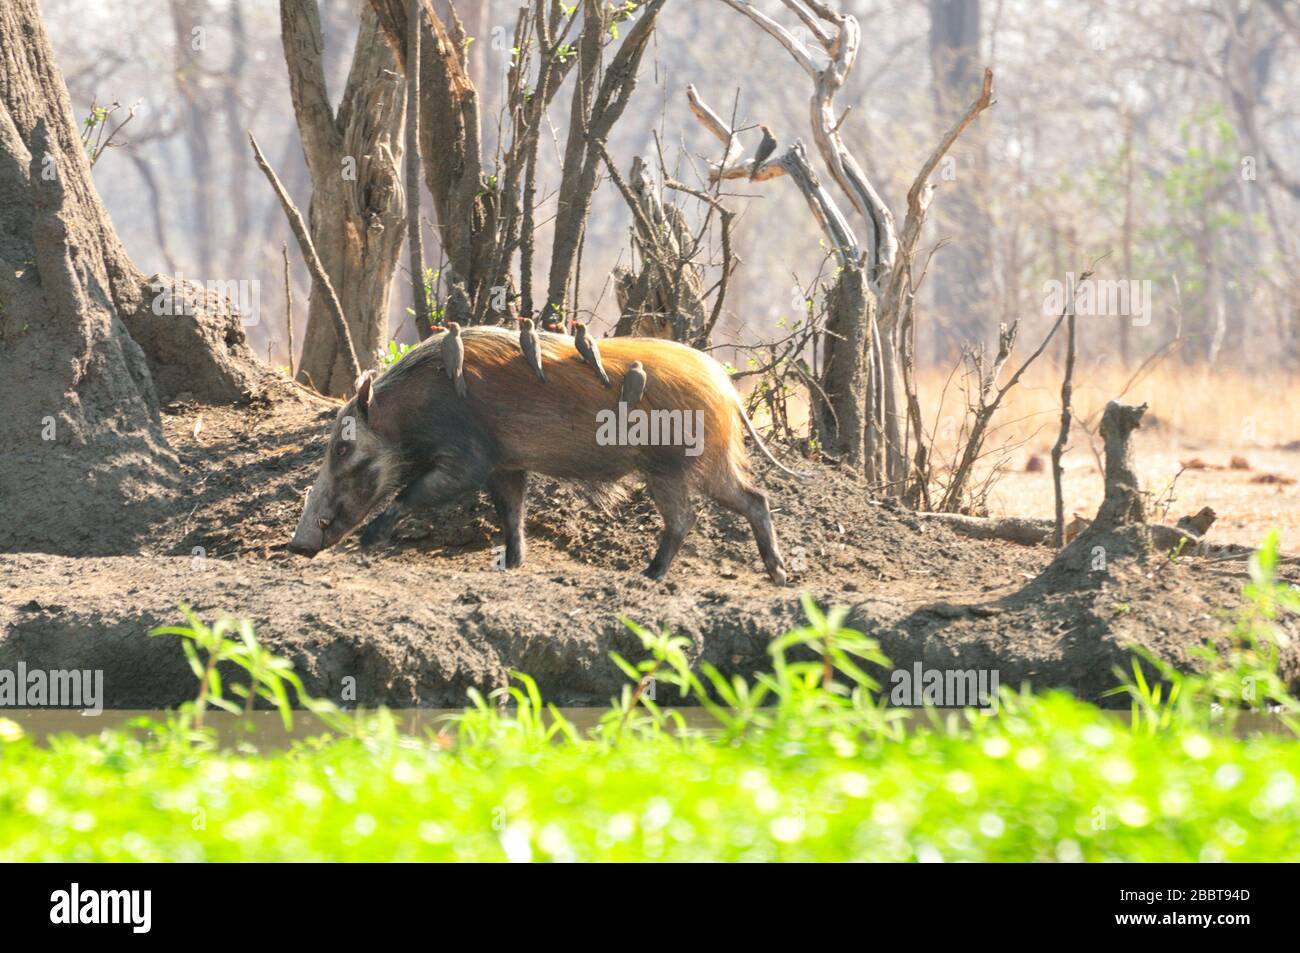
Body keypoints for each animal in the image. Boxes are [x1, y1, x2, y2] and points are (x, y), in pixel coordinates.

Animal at [288, 326, 798, 584]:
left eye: (342, 446)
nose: (298, 545)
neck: (409, 411)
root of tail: (727, 388)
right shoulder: (506, 466)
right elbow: (511, 512)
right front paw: (511, 565)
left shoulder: (467, 459)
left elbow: (412, 493)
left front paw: (369, 540)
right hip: (703, 464)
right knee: (754, 499)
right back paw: (778, 575)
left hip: (670, 466)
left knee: (688, 517)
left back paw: (649, 575)